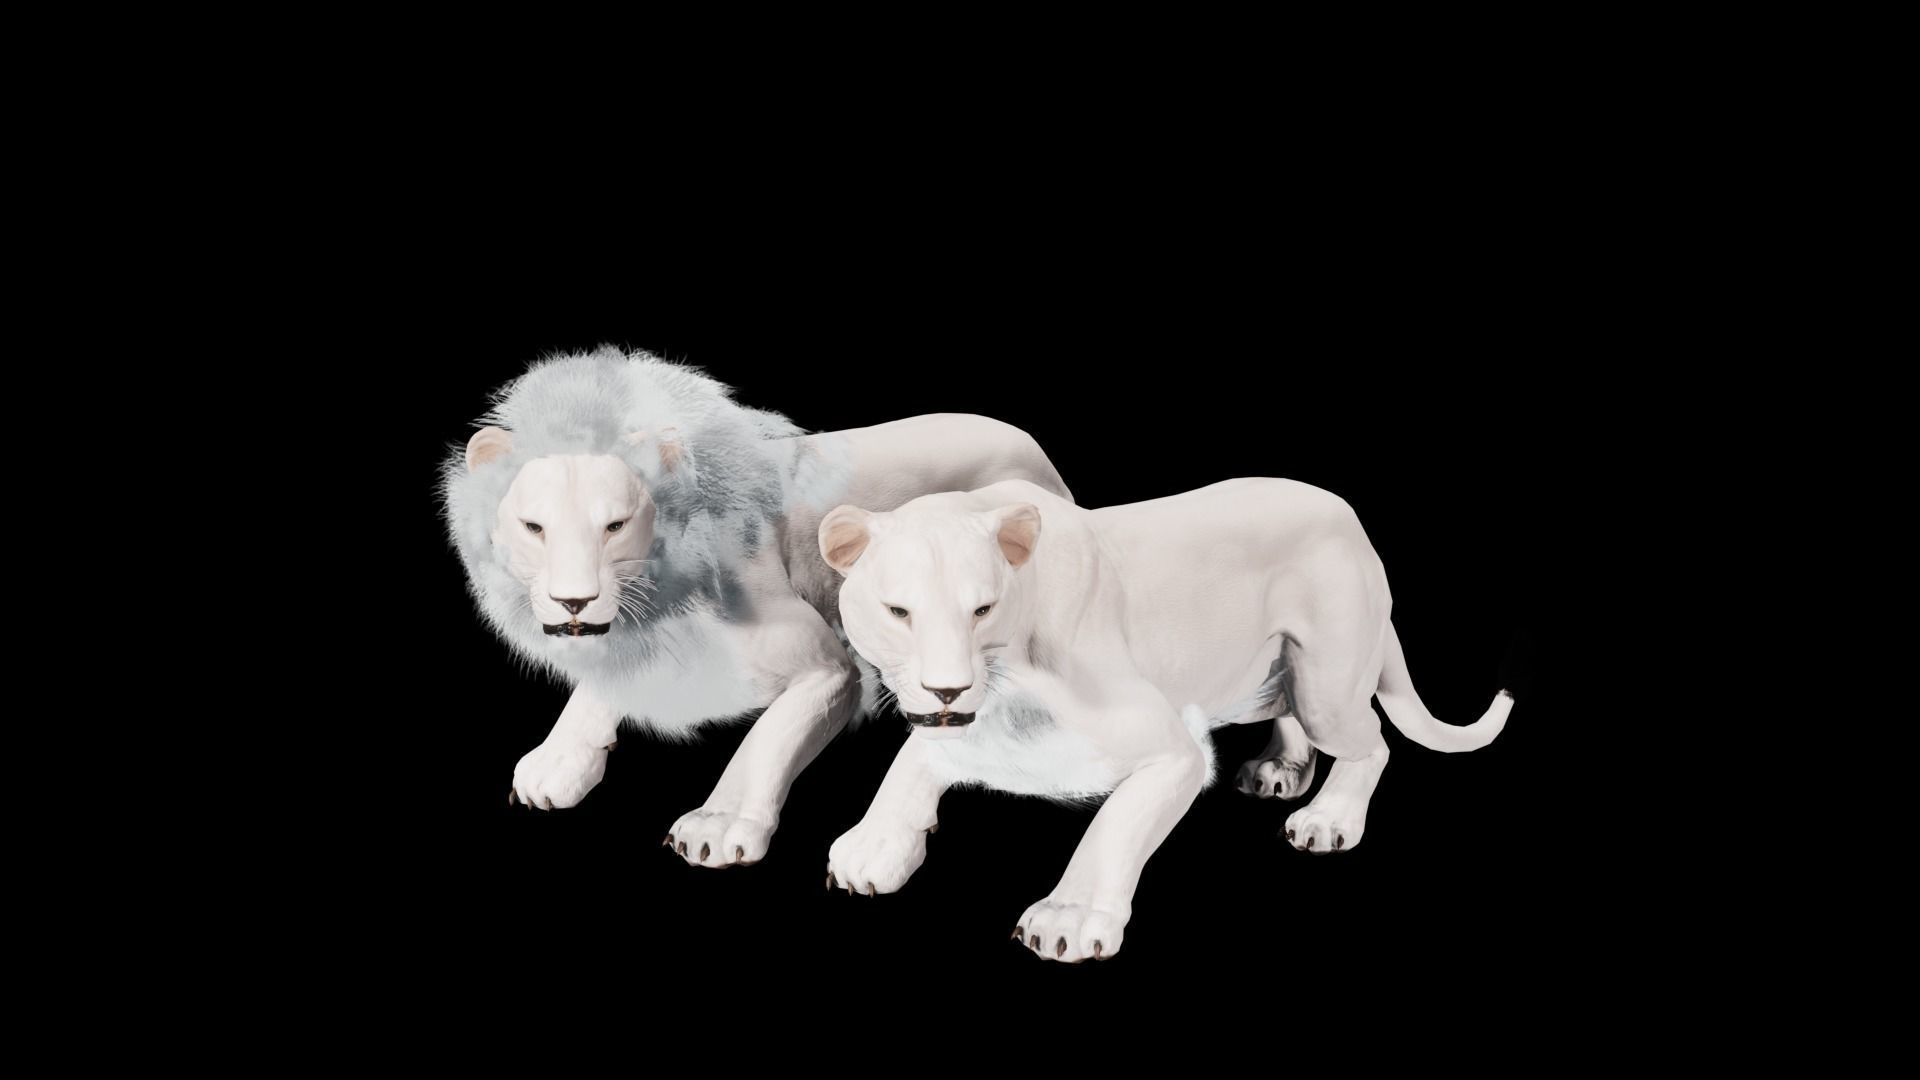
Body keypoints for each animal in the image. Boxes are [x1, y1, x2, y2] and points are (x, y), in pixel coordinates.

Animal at [439, 345, 1072, 866]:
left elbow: (766, 741)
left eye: (615, 525)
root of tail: (1035, 450)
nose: (574, 600)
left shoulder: (825, 665)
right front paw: (559, 760)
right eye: (534, 527)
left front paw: (719, 825)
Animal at [815, 476, 1512, 961]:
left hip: (1328, 681)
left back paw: (1327, 819)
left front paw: (1068, 919)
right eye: (899, 611)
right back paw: (1279, 770)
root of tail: (1353, 521)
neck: (1005, 690)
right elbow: (909, 764)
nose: (948, 688)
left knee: (1372, 743)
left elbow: (1114, 827)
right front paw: (871, 848)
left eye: (982, 609)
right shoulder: (958, 730)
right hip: (1261, 676)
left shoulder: (1172, 749)